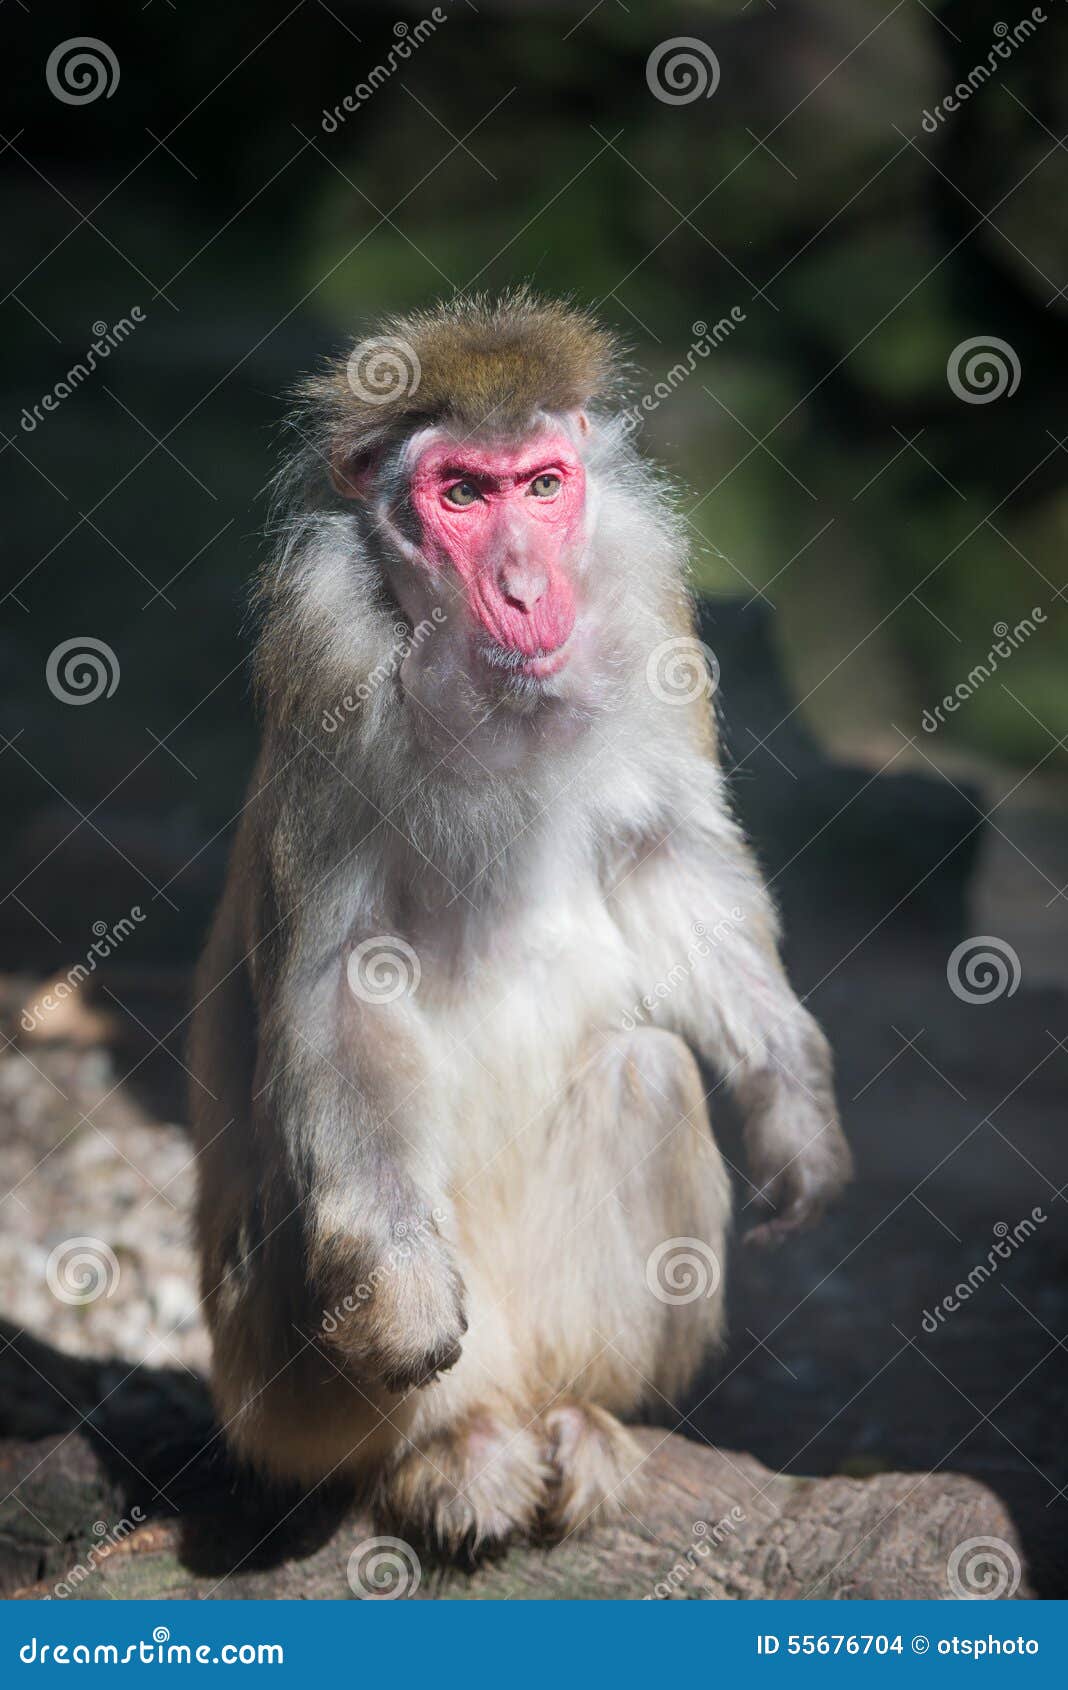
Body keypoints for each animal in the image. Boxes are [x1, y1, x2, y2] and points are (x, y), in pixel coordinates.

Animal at [187, 289, 851, 1553]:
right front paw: (402, 1302)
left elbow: (668, 862)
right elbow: (343, 977)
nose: (528, 589)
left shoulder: (644, 602)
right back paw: (451, 1451)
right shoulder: (325, 655)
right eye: (461, 494)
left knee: (647, 1072)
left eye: (542, 486)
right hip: (279, 1381)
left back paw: (576, 1418)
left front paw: (795, 1101)